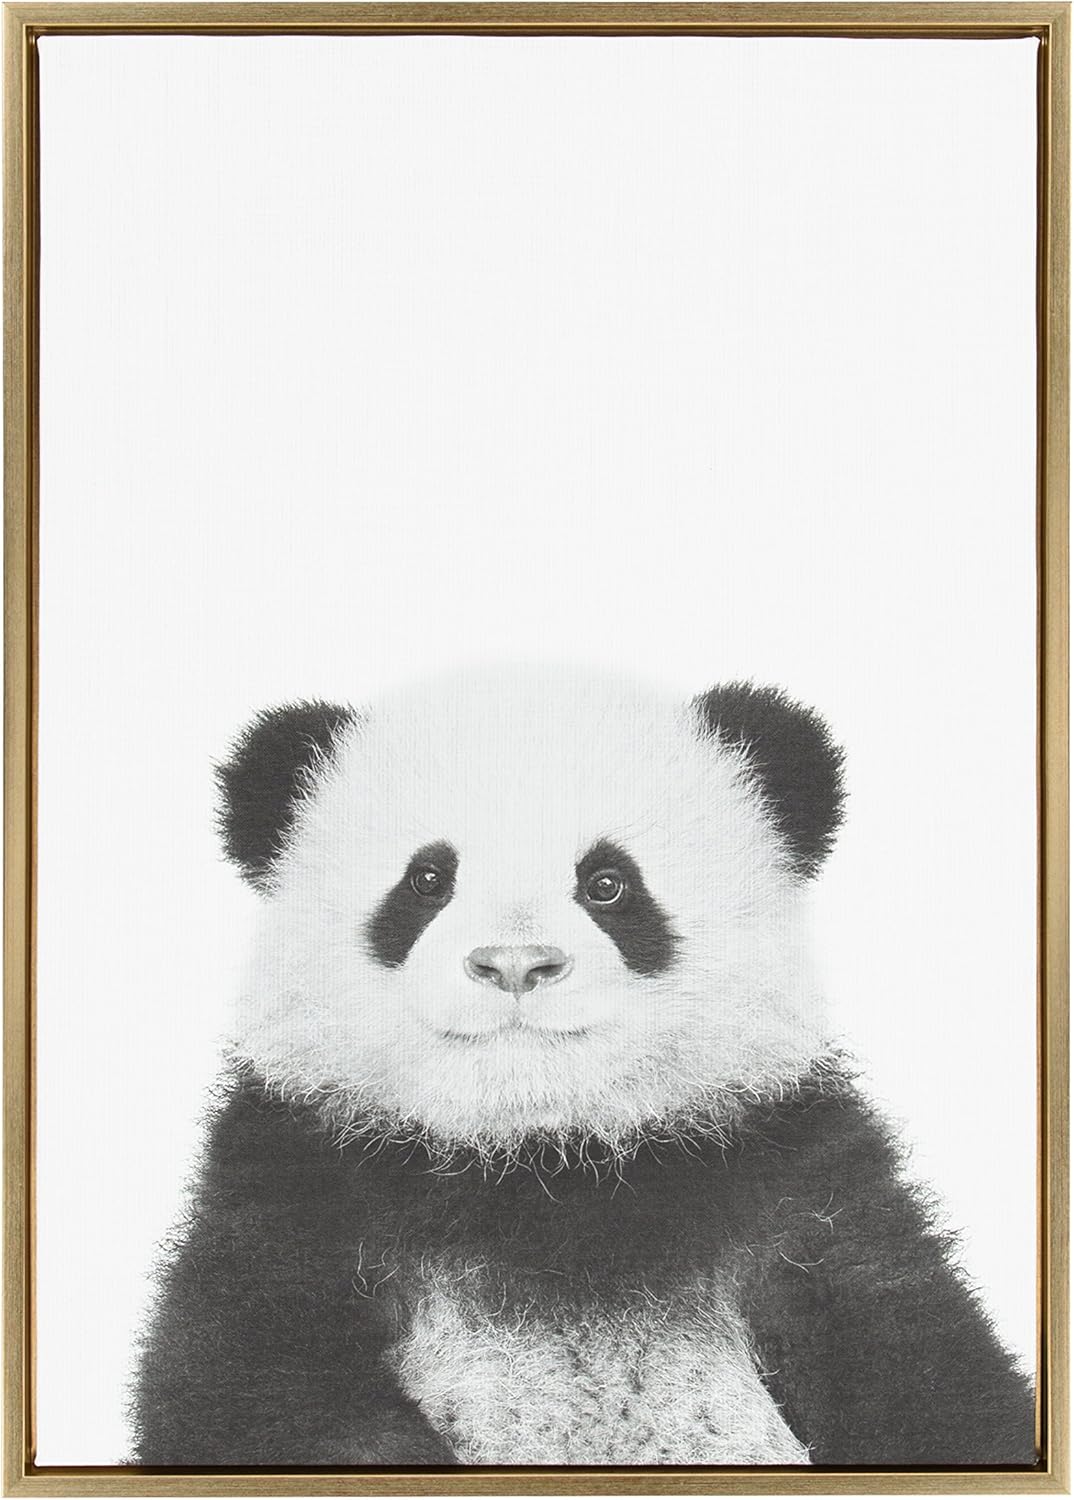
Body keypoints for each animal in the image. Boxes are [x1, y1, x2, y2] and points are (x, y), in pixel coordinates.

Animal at [132, 667, 1035, 1469]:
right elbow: (246, 1383)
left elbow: (919, 1360)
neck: (544, 1161)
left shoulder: (792, 1172)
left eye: (608, 883)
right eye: (426, 880)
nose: (515, 964)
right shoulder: (297, 1177)